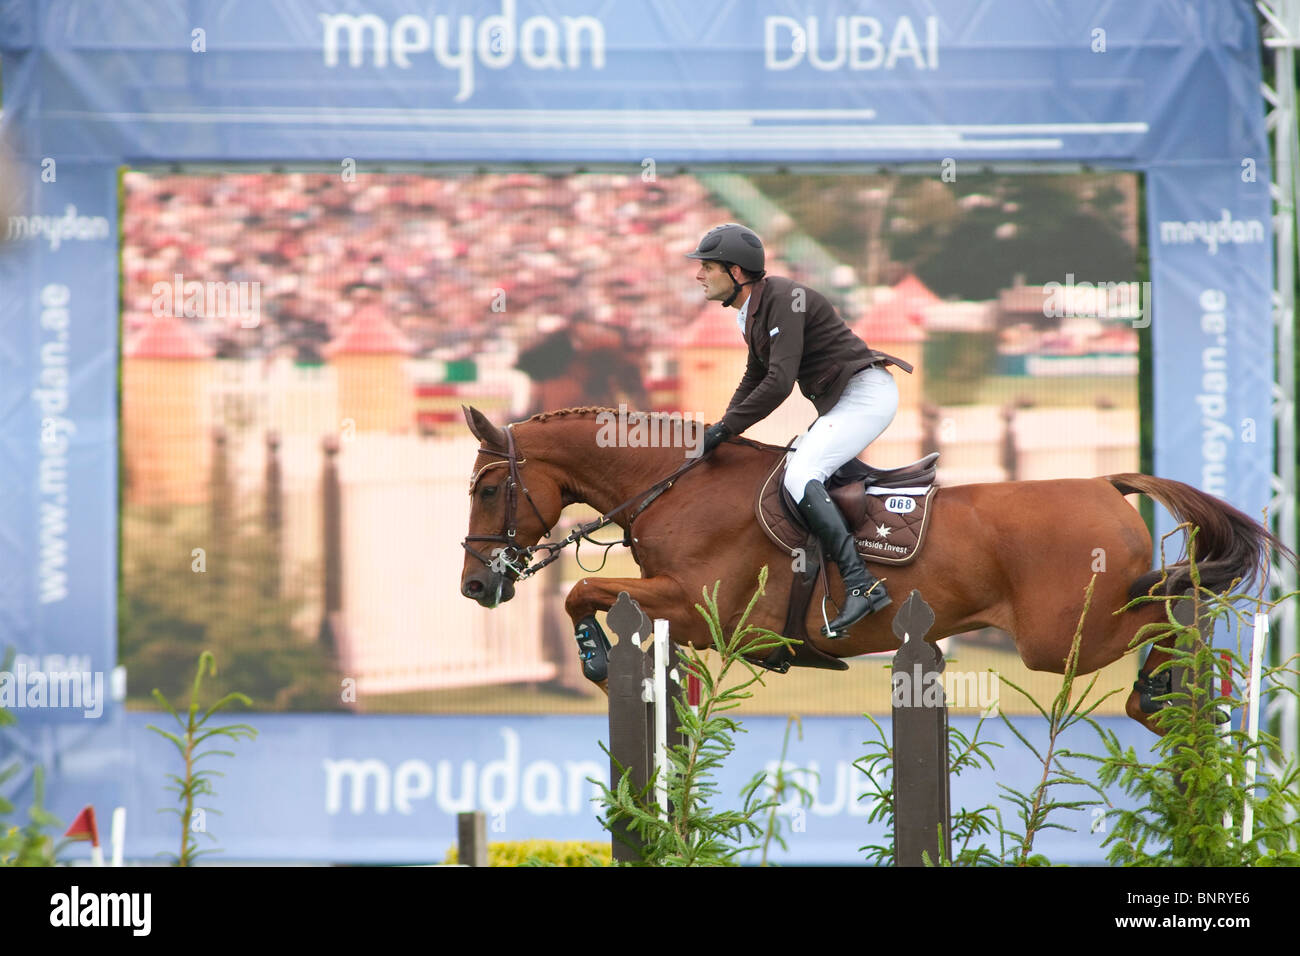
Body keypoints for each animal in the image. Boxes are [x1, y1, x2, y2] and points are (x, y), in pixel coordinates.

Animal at [458, 405, 1288, 735]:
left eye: (490, 488)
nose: (475, 586)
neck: (676, 486)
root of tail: (1104, 484)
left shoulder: (703, 610)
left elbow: (584, 589)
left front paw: (596, 660)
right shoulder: (686, 617)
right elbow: (595, 593)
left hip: (1061, 639)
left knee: (1171, 611)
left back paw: (1169, 697)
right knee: (1173, 606)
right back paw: (1175, 698)